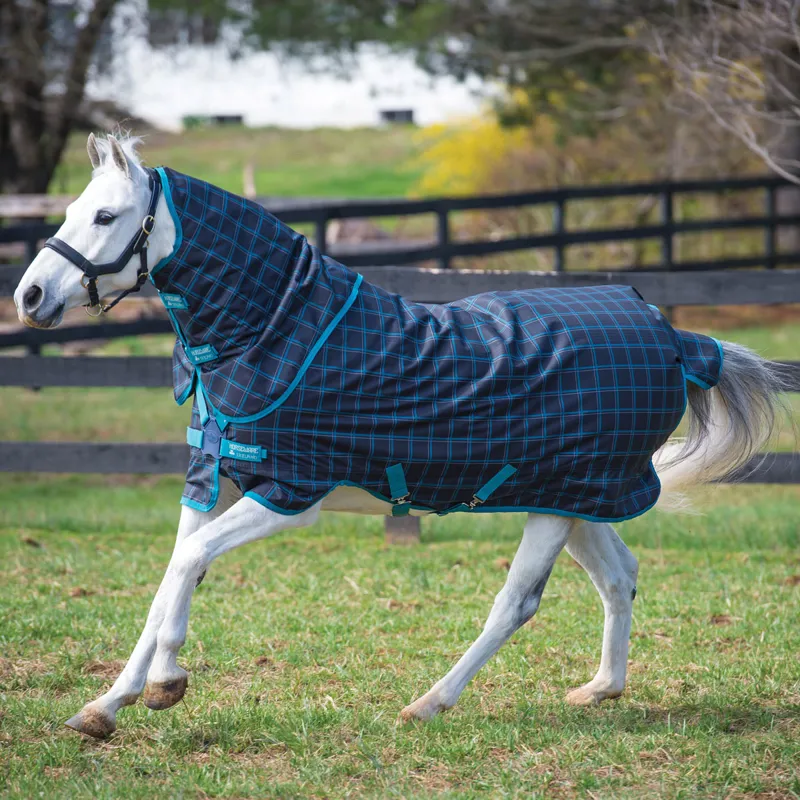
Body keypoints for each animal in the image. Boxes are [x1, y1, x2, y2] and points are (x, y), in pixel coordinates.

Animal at [14, 134, 785, 740]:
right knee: (619, 576)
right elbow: (172, 576)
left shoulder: (291, 493)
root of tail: (676, 337)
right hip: (576, 500)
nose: (29, 297)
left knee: (517, 603)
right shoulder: (217, 479)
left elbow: (189, 564)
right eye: (70, 211)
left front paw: (166, 684)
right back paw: (599, 689)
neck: (278, 330)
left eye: (106, 215)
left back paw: (428, 704)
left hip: (559, 503)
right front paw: (105, 707)